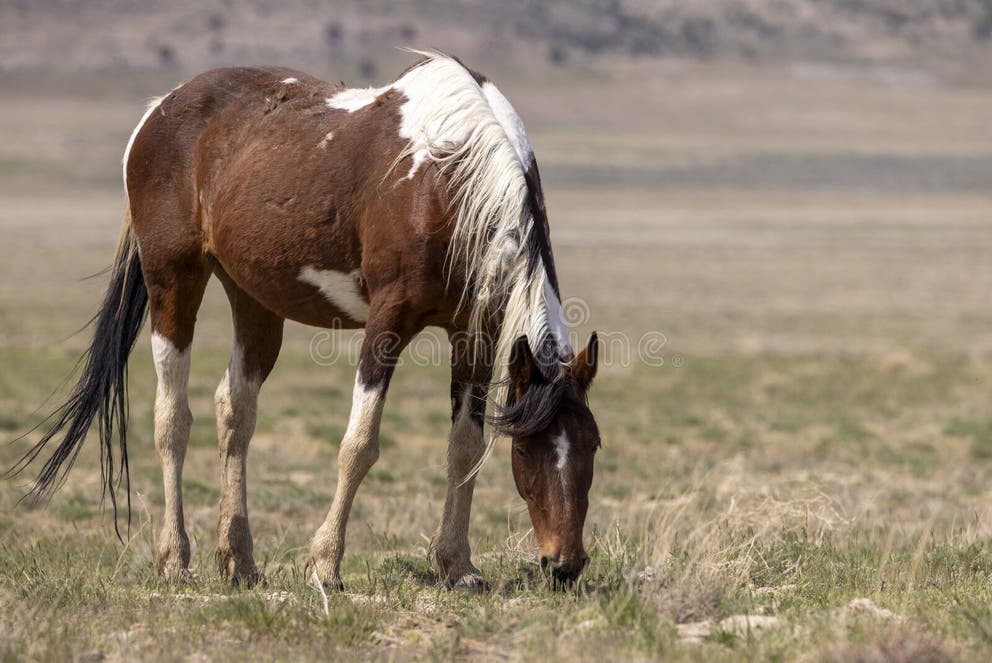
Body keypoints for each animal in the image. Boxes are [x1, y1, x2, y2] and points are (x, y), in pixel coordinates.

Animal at [8, 51, 602, 590]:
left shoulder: (474, 333)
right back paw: (175, 558)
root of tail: (160, 108)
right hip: (172, 281)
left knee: (235, 413)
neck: (447, 179)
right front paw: (324, 565)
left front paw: (458, 566)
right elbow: (359, 446)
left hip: (253, 298)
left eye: (592, 445)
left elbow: (465, 448)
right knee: (172, 418)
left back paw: (239, 561)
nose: (565, 565)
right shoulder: (387, 323)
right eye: (525, 450)